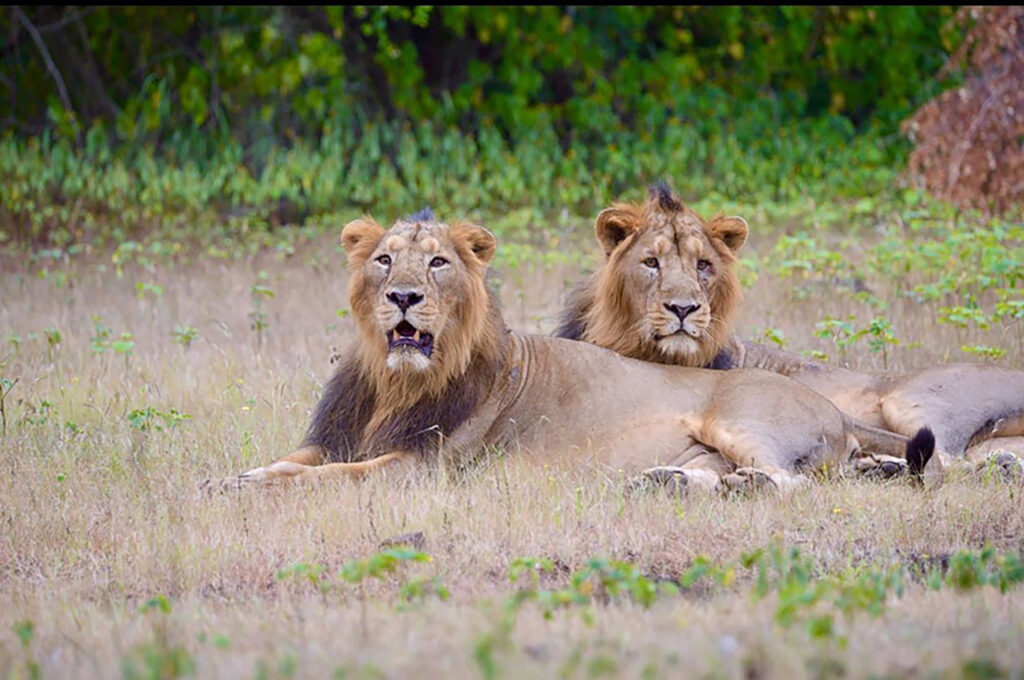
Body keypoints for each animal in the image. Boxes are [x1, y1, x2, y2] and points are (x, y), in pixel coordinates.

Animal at [203, 210, 935, 495]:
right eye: (384, 260)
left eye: (437, 263)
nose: (404, 297)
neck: (397, 382)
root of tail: (833, 410)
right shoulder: (335, 435)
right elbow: (295, 461)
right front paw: (231, 477)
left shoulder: (423, 467)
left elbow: (330, 477)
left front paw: (257, 486)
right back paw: (665, 483)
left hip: (741, 419)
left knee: (789, 482)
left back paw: (739, 486)